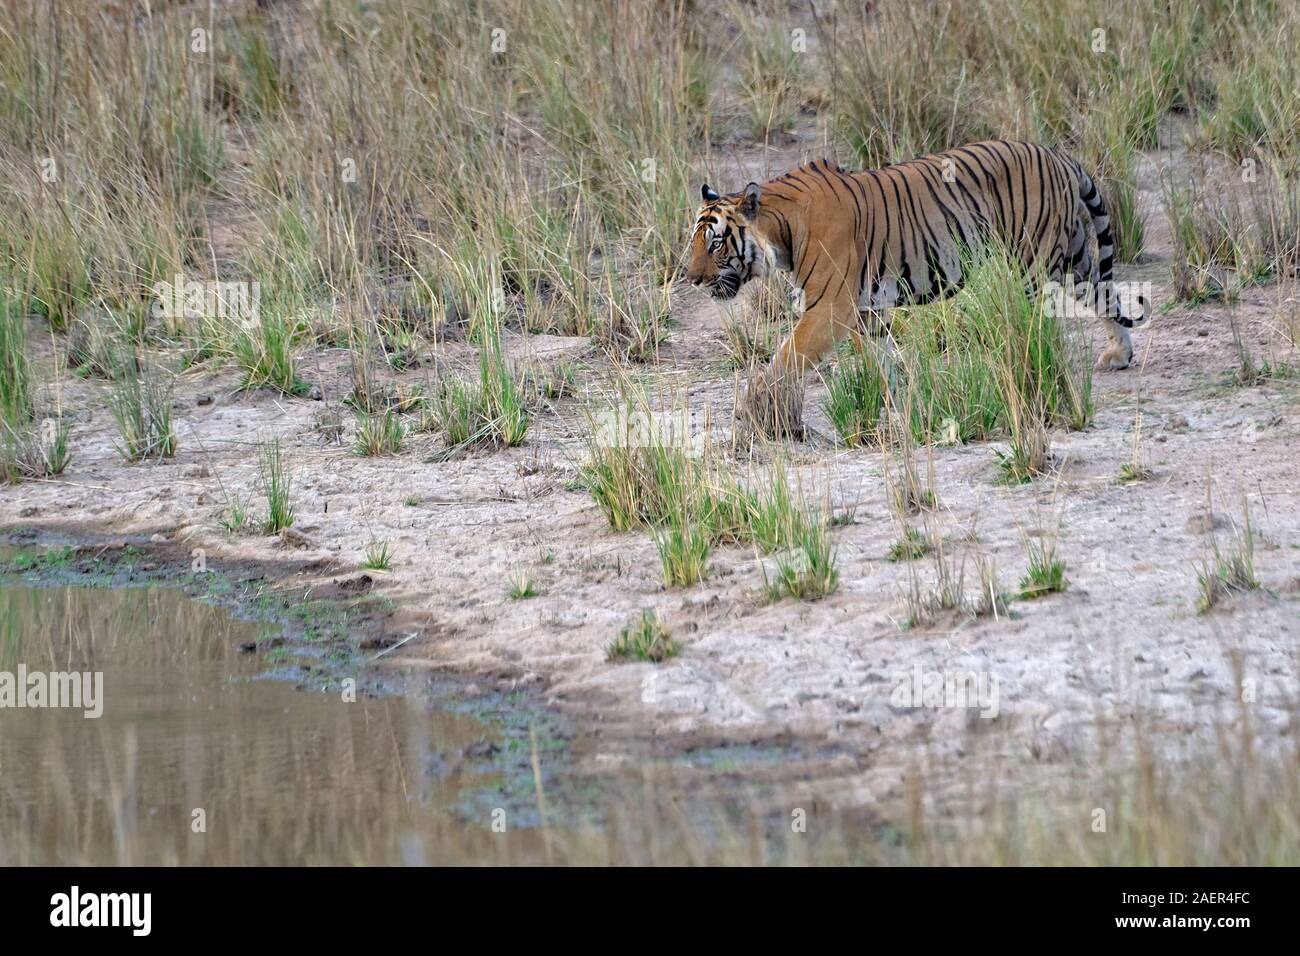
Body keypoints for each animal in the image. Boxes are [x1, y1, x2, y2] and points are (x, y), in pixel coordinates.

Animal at [684, 139, 1149, 433]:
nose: (691, 278)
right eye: (694, 241)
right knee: (1106, 294)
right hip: (1074, 257)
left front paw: (751, 408)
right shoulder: (865, 311)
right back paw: (1120, 354)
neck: (780, 233)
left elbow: (784, 359)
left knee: (1036, 323)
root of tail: (1058, 155)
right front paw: (907, 405)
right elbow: (885, 360)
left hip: (1032, 263)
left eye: (715, 242)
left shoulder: (828, 309)